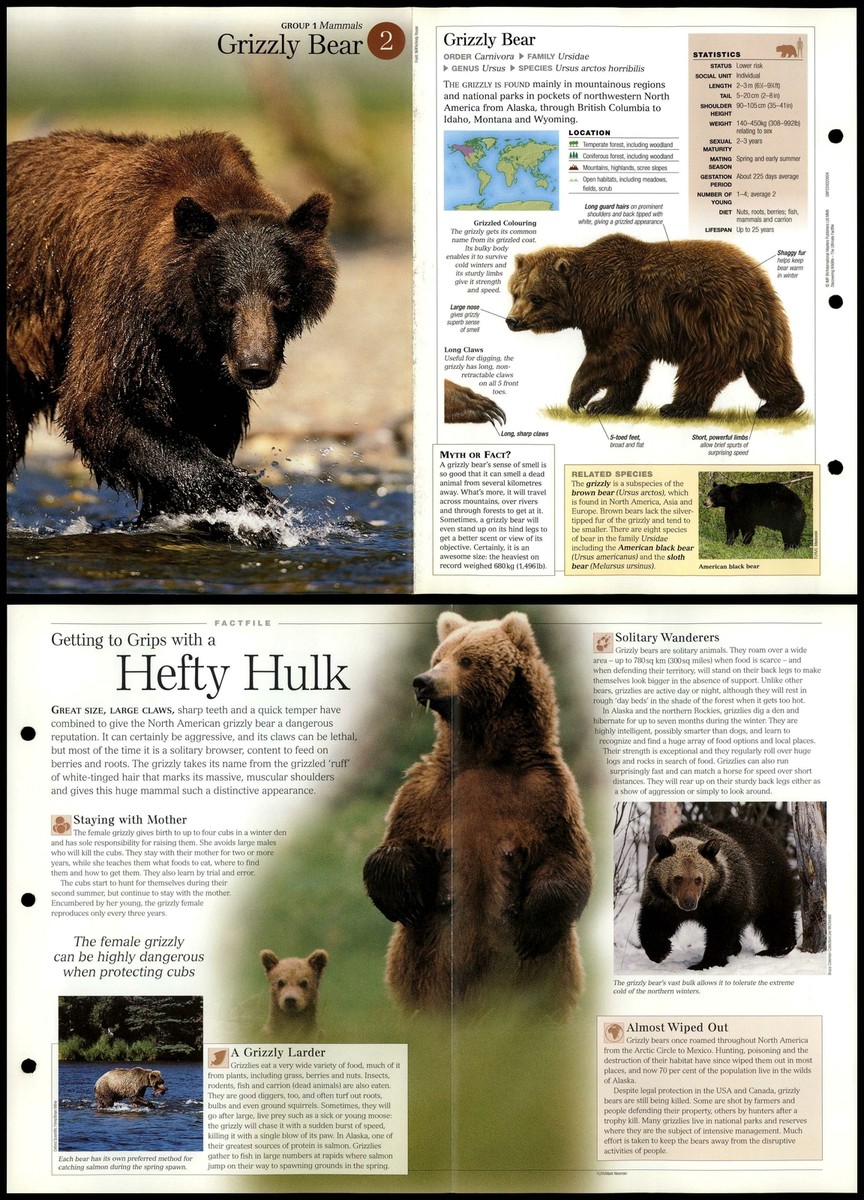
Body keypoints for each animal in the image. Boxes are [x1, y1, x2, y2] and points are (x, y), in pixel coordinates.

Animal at [6, 129, 337, 522]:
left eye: (282, 295)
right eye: (227, 296)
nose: (254, 366)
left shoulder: (199, 367)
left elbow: (208, 419)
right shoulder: (124, 302)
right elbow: (107, 401)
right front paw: (254, 499)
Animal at [363, 611, 594, 1018]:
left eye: (466, 659)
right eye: (438, 657)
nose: (423, 681)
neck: (485, 755)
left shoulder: (547, 794)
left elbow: (565, 858)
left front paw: (534, 927)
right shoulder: (429, 790)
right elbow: (400, 842)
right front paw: (403, 899)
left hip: (539, 977)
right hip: (426, 968)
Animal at [506, 234, 804, 420]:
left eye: (536, 297)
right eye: (514, 293)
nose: (512, 320)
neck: (587, 296)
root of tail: (760, 282)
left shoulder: (618, 307)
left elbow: (613, 357)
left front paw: (579, 397)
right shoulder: (611, 323)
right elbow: (629, 369)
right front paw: (605, 405)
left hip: (715, 321)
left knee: (701, 370)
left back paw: (677, 408)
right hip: (763, 332)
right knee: (768, 368)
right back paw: (779, 405)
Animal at [637, 818, 798, 970]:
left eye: (698, 879)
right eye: (678, 878)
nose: (689, 903)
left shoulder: (724, 899)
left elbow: (720, 932)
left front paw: (706, 963)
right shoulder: (662, 900)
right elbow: (653, 922)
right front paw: (659, 951)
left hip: (770, 885)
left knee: (775, 917)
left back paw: (777, 948)